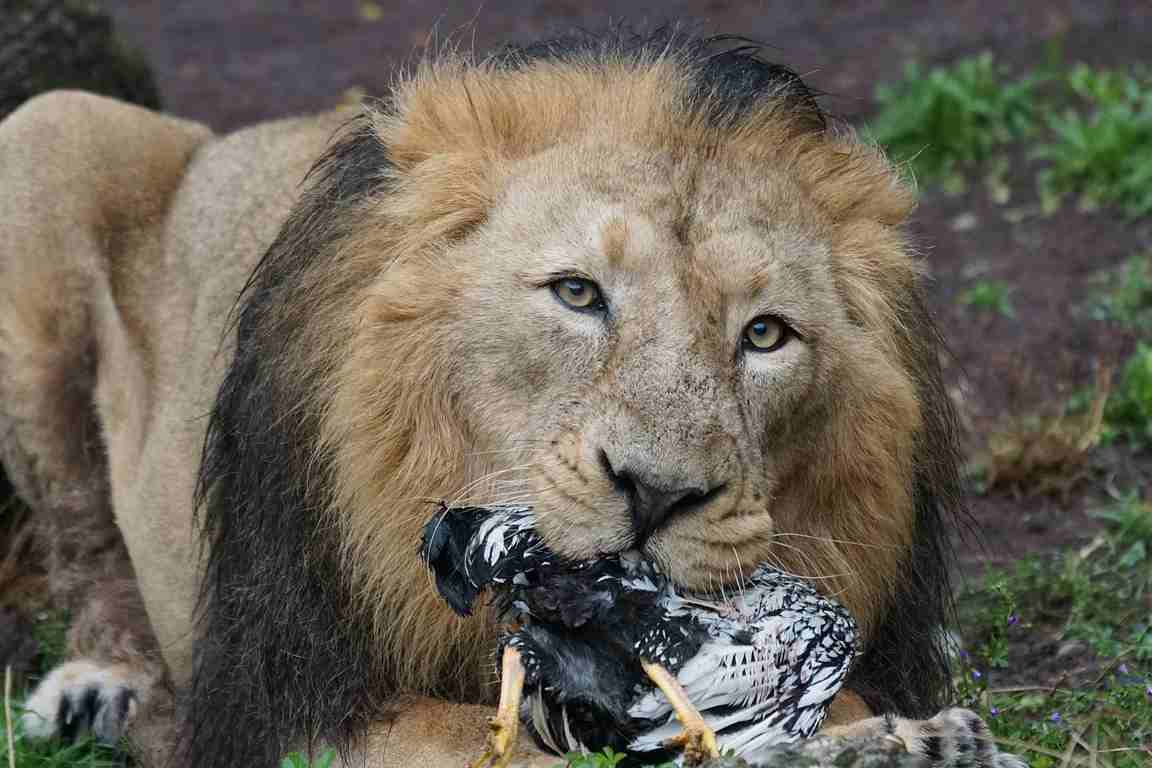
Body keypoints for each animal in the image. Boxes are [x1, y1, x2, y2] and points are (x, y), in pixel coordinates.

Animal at [0, 30, 1022, 768]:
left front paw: (914, 738)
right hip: (44, 134)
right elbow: (503, 748)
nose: (657, 495)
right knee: (85, 546)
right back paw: (105, 692)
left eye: (765, 335)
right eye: (577, 292)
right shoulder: (300, 701)